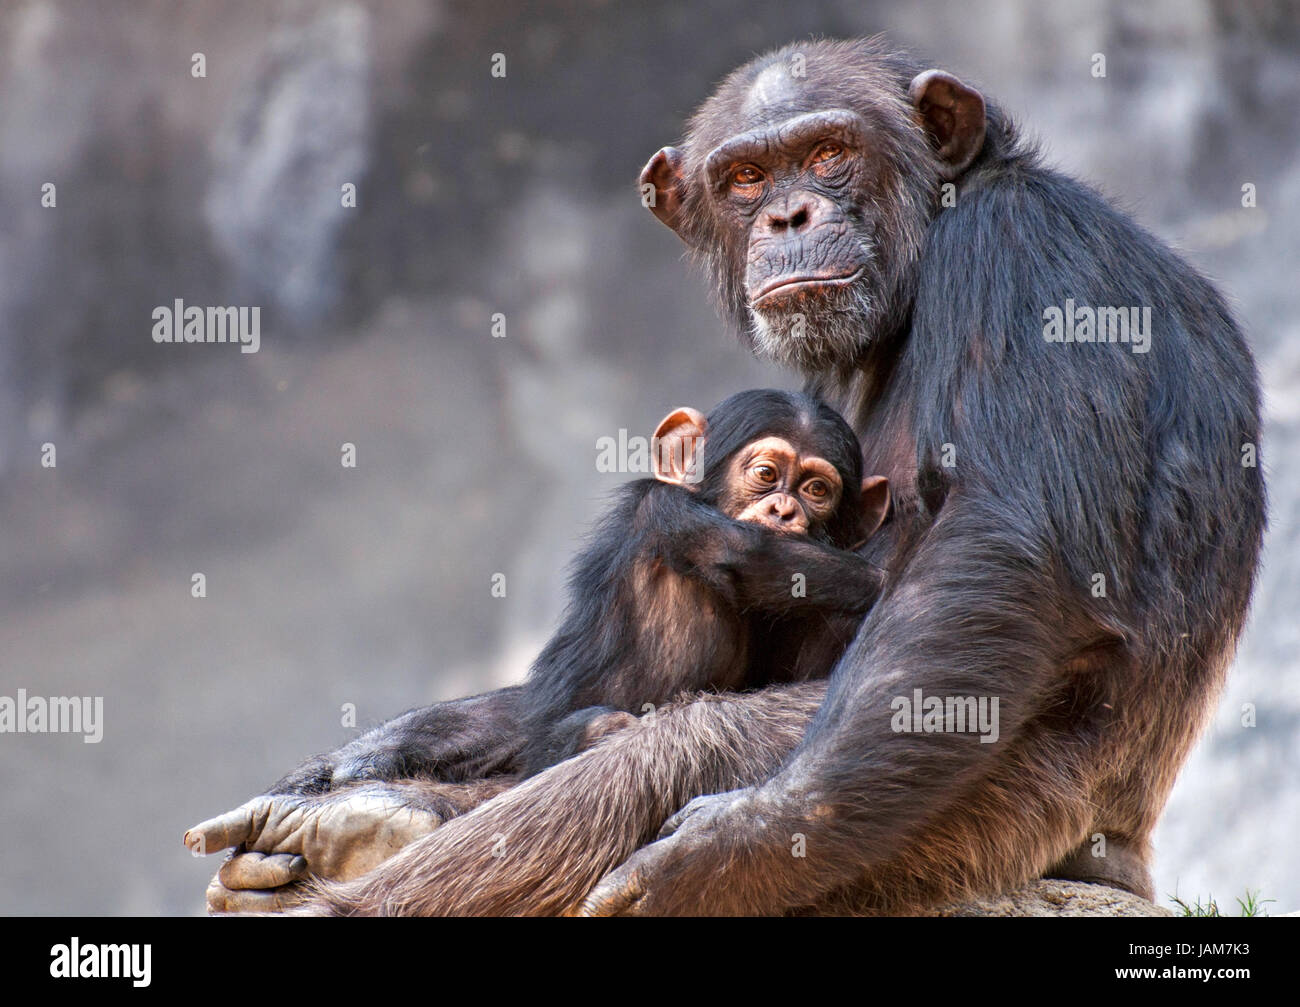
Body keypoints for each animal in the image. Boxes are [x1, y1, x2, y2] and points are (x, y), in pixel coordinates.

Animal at [192, 37, 1264, 917]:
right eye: (747, 176)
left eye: (829, 153)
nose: (789, 211)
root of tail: (1117, 856)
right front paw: (356, 760)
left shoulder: (1031, 254)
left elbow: (1001, 541)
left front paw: (736, 841)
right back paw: (357, 821)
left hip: (998, 813)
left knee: (674, 751)